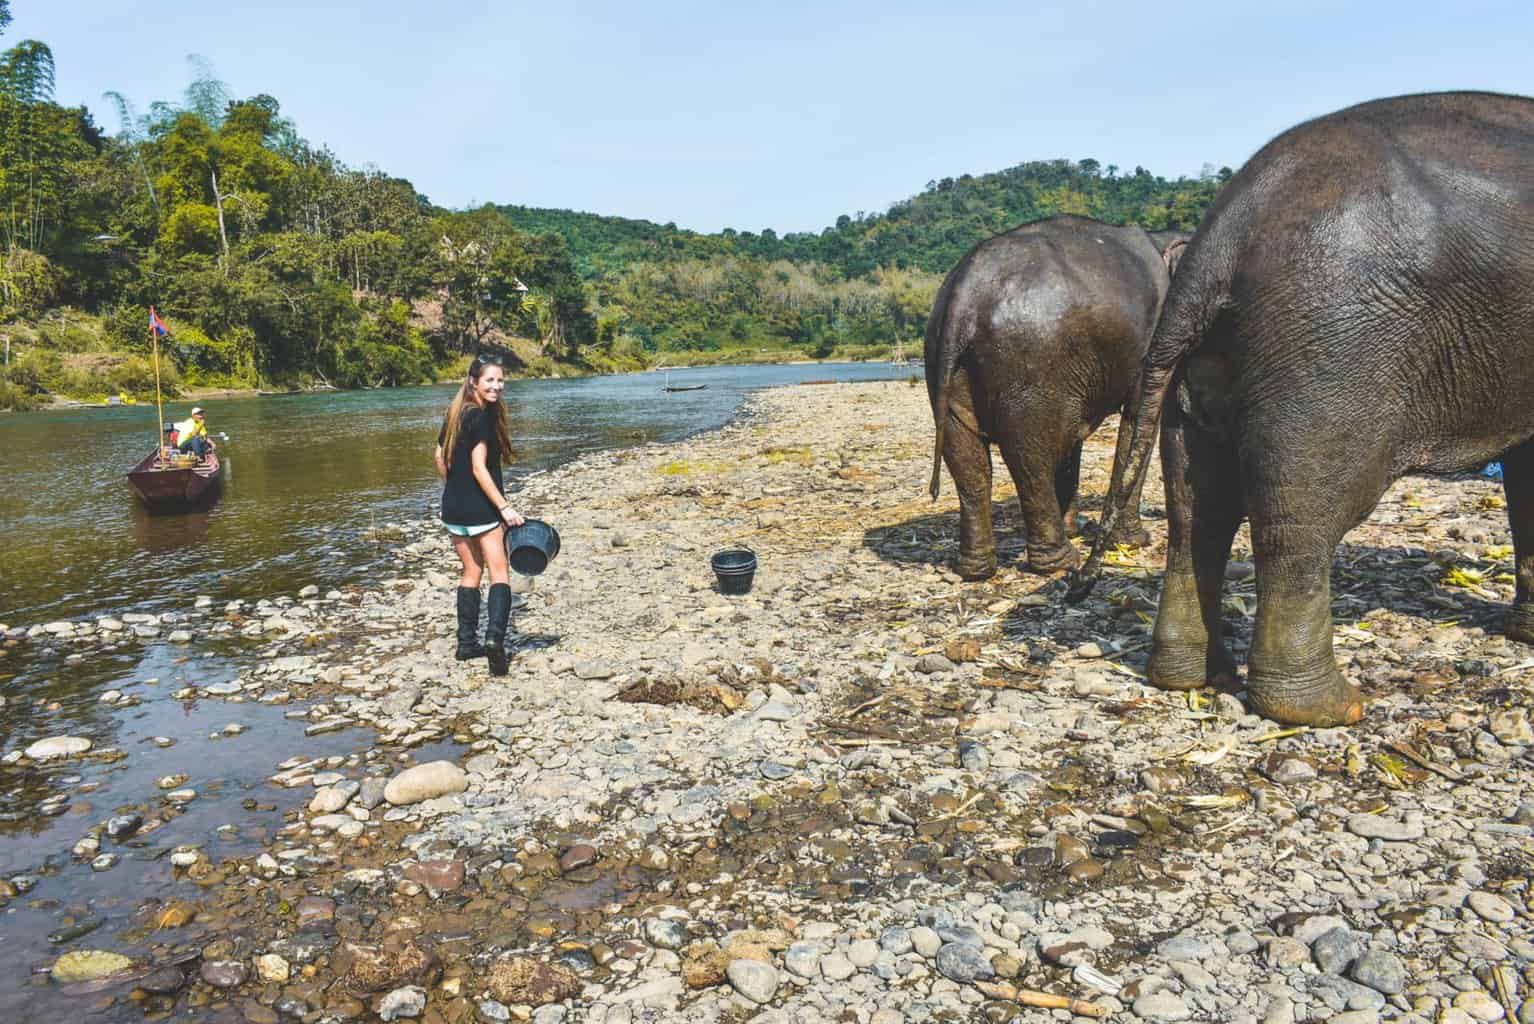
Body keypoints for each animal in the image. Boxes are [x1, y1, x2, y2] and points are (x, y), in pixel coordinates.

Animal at [925, 214, 1187, 578]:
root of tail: (964, 294)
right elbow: (1138, 419)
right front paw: (1134, 542)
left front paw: (1077, 527)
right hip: (1031, 365)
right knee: (1031, 456)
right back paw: (1060, 562)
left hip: (945, 363)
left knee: (969, 459)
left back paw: (976, 569)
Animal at [1071, 91, 1534, 727]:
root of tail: (1218, 239)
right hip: (1333, 350)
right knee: (1301, 521)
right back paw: (1327, 707)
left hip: (1207, 361)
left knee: (1199, 510)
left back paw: (1195, 676)